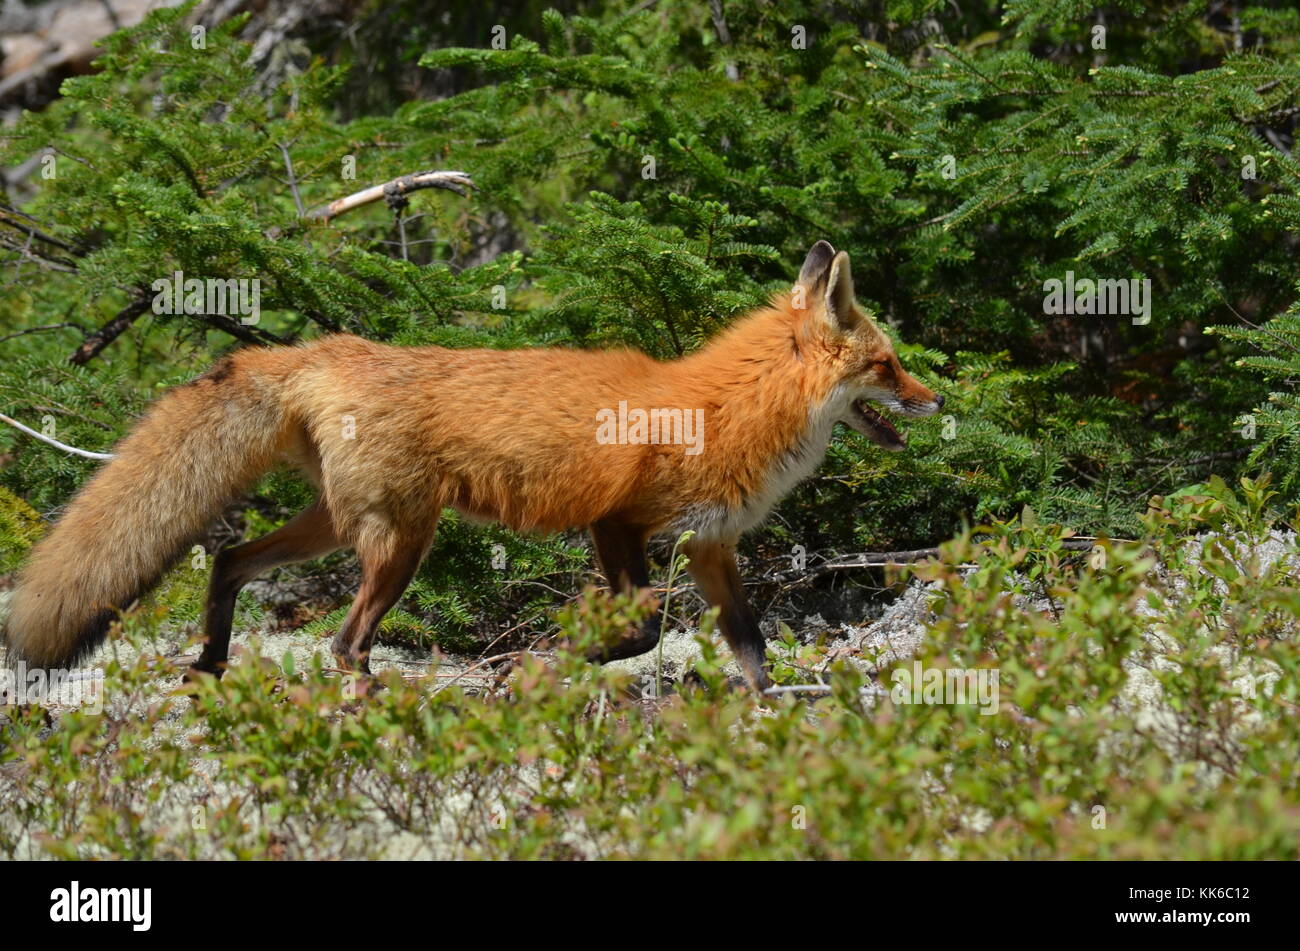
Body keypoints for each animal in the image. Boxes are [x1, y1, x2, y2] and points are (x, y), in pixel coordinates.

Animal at [3, 240, 943, 694]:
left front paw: (770, 712)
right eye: (890, 365)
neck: (726, 408)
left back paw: (209, 664)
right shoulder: (617, 521)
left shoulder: (712, 548)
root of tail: (315, 351)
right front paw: (539, 666)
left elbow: (750, 645)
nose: (936, 399)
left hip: (339, 526)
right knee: (343, 641)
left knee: (230, 558)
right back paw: (374, 702)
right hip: (398, 544)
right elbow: (640, 627)